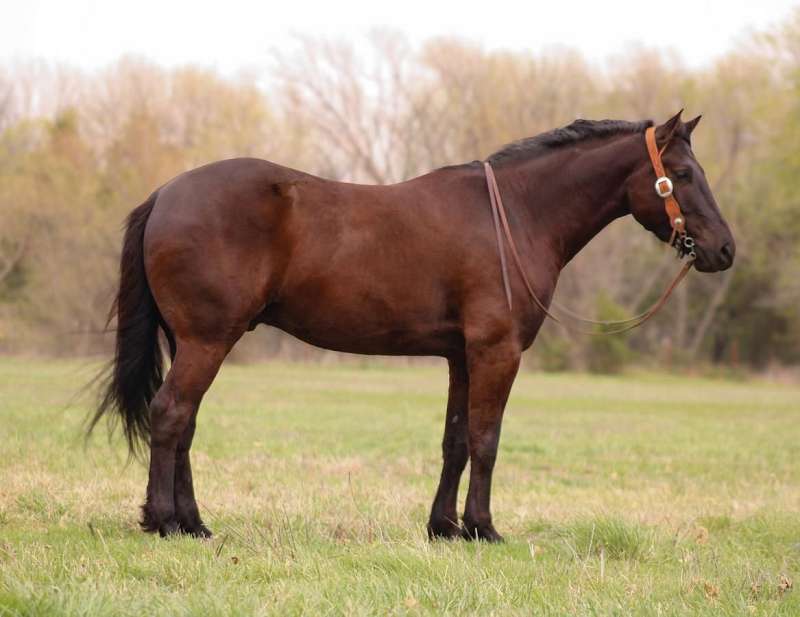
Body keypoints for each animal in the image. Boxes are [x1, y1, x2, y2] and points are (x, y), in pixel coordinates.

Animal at [91, 110, 735, 541]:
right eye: (681, 173)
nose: (725, 250)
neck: (516, 215)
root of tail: (166, 193)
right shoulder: (498, 352)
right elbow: (487, 439)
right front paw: (483, 528)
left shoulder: (461, 356)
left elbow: (456, 440)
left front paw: (444, 527)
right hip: (208, 341)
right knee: (171, 414)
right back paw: (164, 521)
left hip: (192, 341)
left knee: (184, 424)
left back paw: (193, 522)